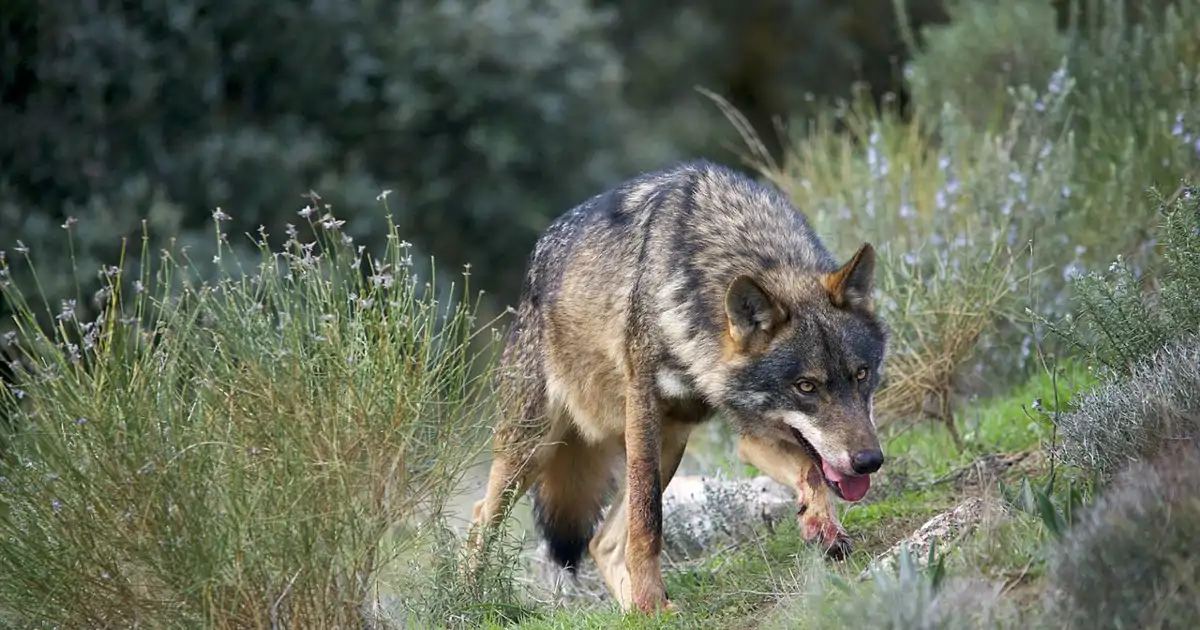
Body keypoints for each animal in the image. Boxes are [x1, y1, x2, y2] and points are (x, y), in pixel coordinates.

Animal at [466, 160, 889, 614]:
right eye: (806, 386)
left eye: (861, 374)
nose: (869, 461)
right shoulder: (643, 408)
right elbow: (647, 521)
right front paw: (651, 597)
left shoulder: (750, 432)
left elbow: (810, 470)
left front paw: (821, 527)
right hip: (535, 450)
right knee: (480, 519)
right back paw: (468, 600)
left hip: (670, 443)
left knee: (601, 542)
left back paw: (638, 613)